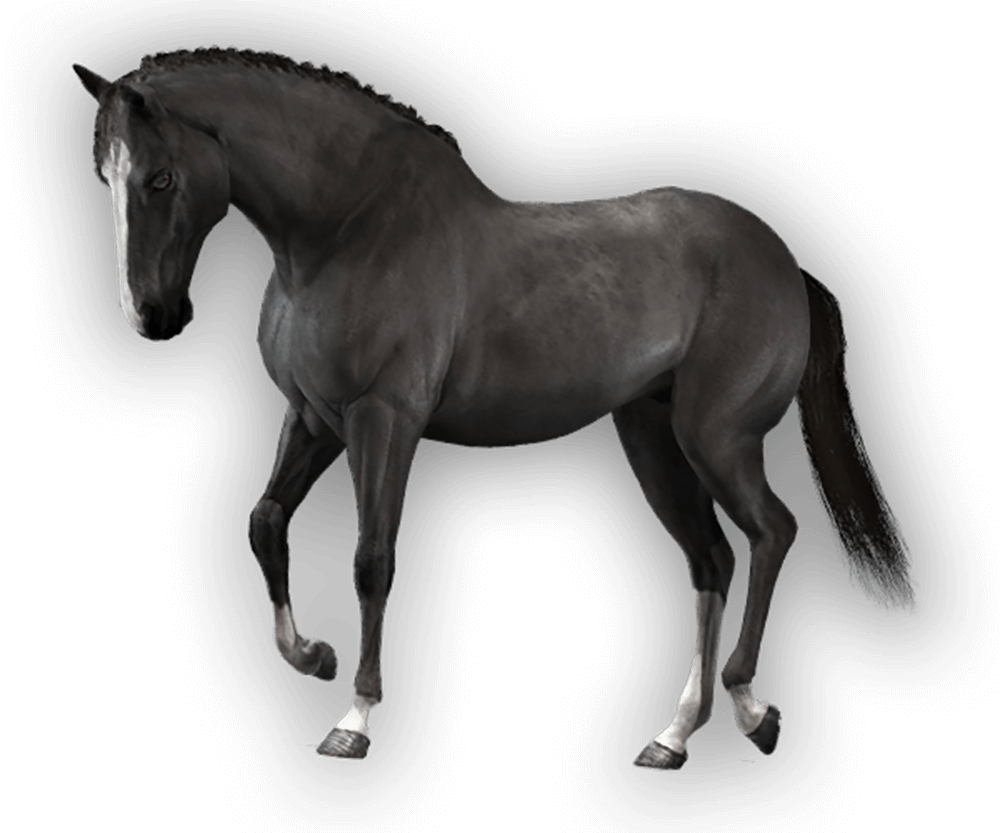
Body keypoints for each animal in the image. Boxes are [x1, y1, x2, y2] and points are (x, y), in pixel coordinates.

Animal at [73, 47, 914, 769]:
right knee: (711, 559)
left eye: (159, 179)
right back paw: (672, 735)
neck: (343, 229)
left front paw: (353, 720)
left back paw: (752, 709)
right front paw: (311, 657)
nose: (150, 316)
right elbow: (265, 521)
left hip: (716, 437)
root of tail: (786, 260)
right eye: (104, 179)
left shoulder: (385, 419)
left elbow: (371, 559)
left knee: (772, 533)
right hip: (652, 436)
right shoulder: (312, 418)